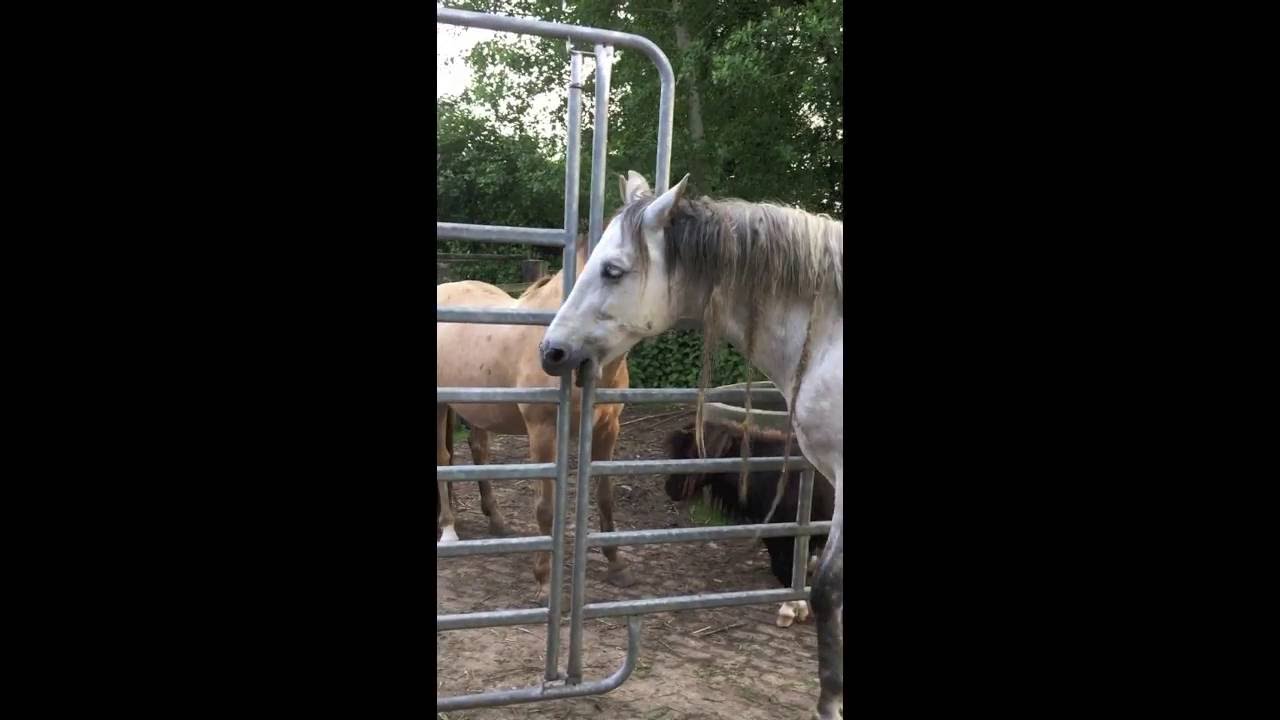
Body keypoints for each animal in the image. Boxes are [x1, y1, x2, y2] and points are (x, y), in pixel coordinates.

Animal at [436, 236, 637, 597]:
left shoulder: (607, 429)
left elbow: (605, 497)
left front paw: (617, 565)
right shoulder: (544, 432)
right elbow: (546, 508)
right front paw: (544, 581)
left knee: (478, 450)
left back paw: (496, 520)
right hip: (442, 404)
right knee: (443, 458)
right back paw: (448, 529)